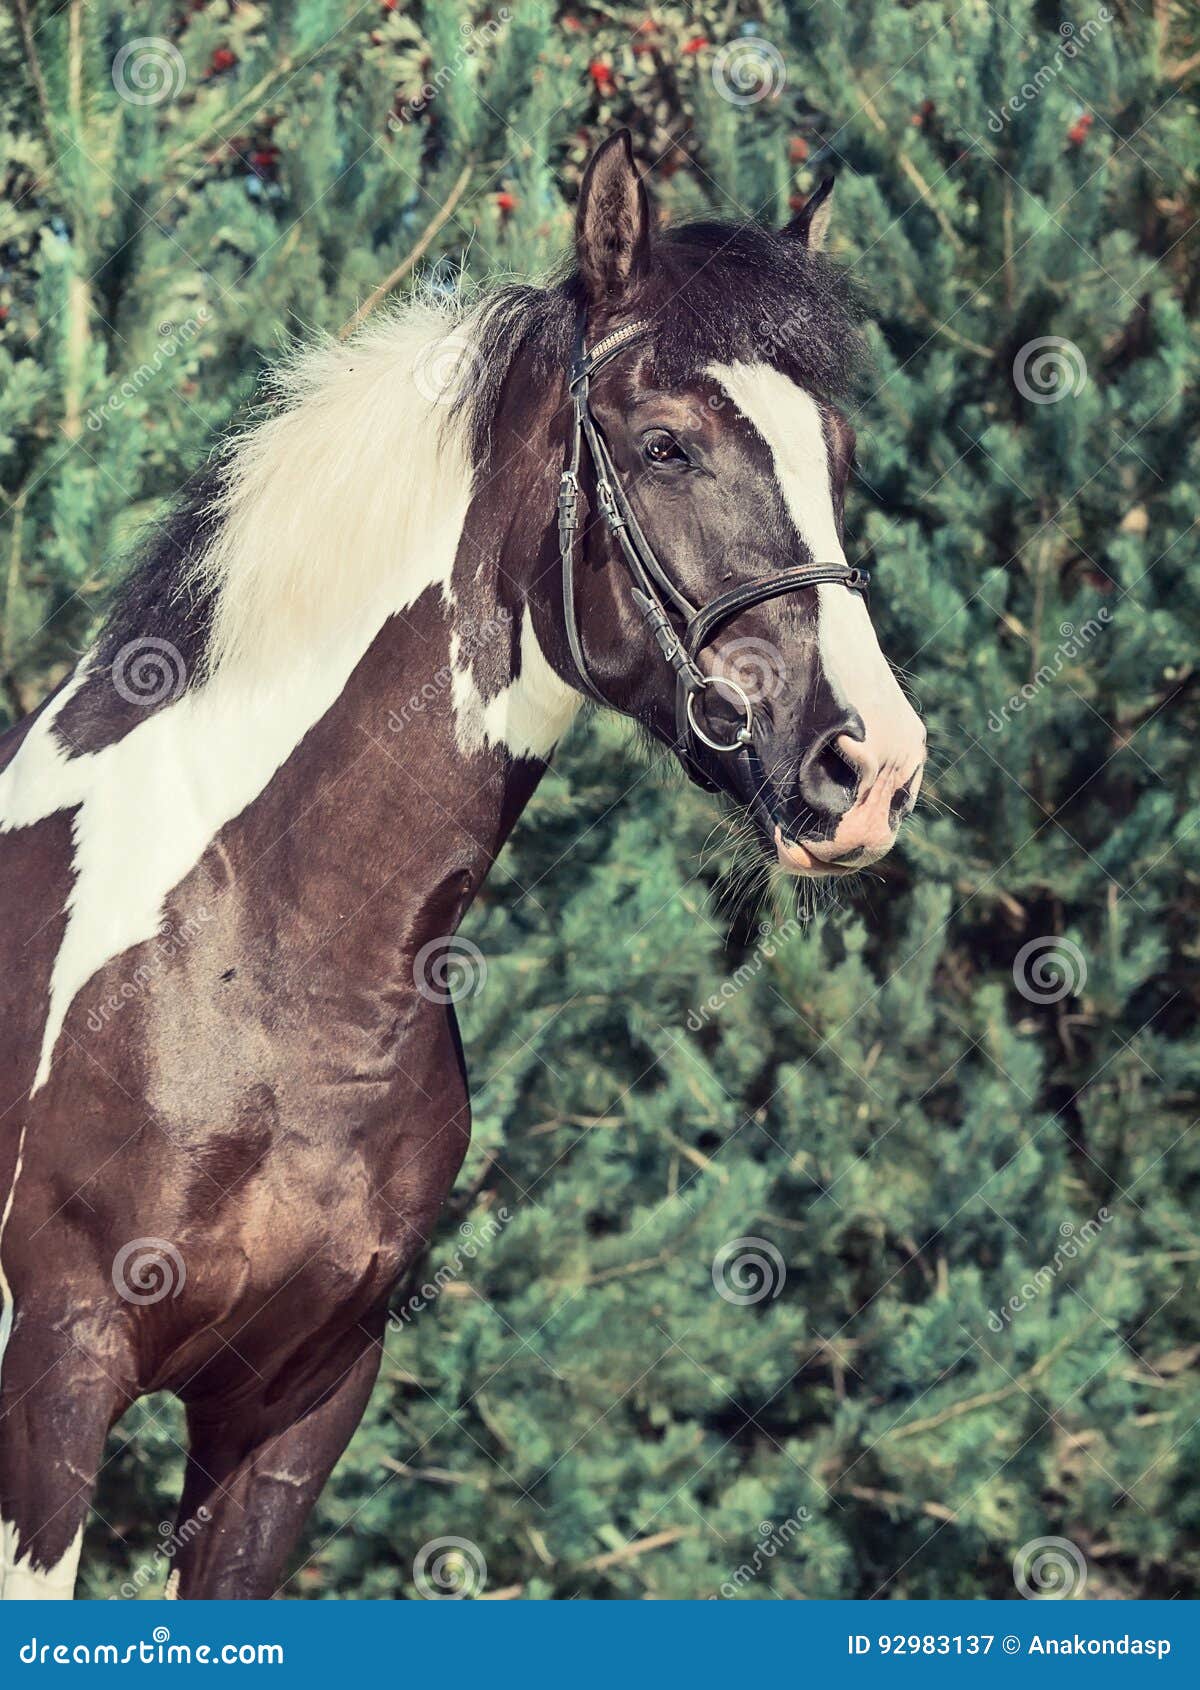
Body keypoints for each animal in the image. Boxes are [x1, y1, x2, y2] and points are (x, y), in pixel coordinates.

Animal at [0, 131, 925, 1599]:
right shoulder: (53, 1374)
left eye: (833, 455)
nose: (872, 767)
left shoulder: (294, 1409)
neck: (251, 962)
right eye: (664, 444)